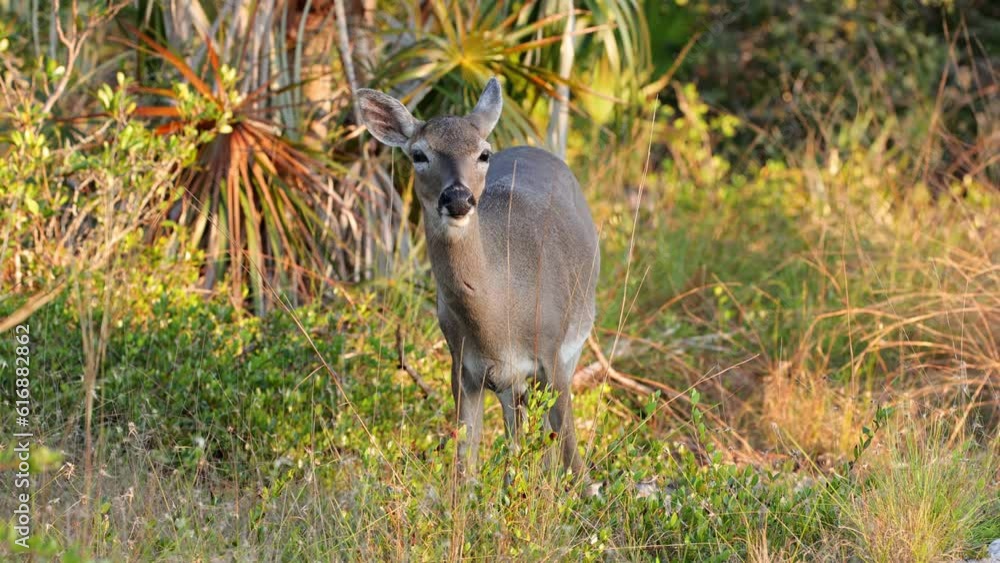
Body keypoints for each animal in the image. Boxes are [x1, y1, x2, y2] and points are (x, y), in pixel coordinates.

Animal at [355, 77, 600, 481]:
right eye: (418, 154)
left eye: (483, 154)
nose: (457, 198)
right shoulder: (463, 367)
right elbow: (463, 469)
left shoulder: (551, 352)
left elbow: (575, 460)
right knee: (518, 433)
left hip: (573, 343)